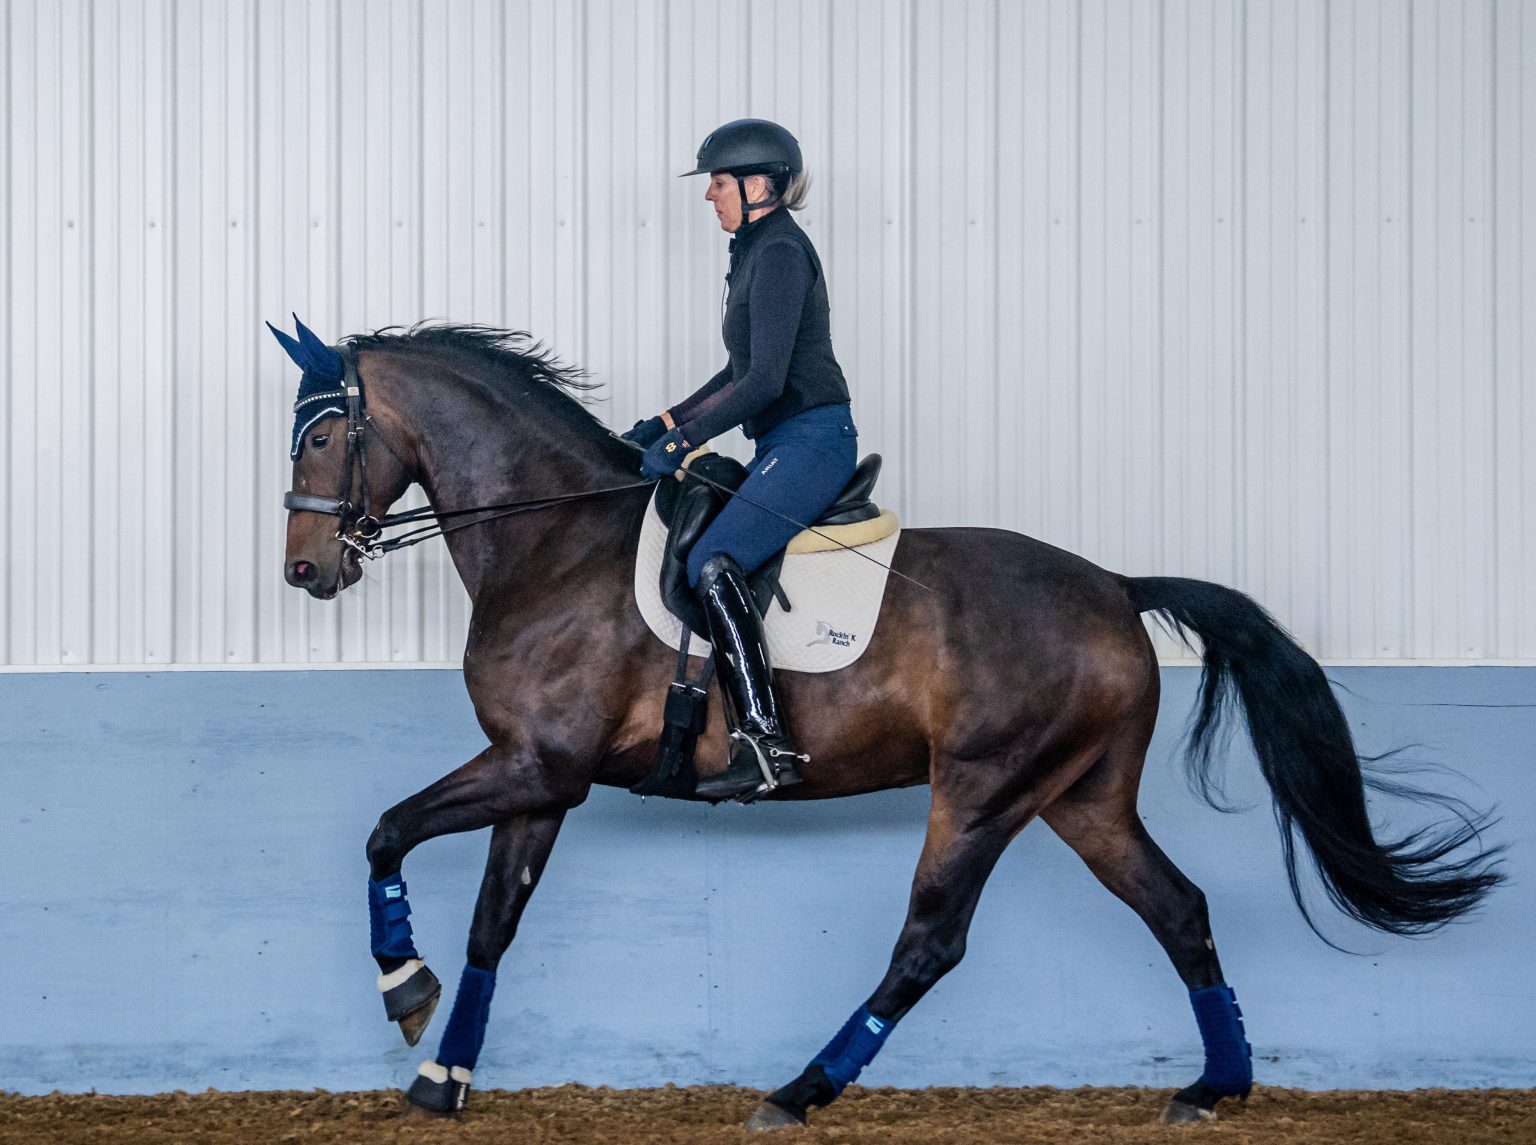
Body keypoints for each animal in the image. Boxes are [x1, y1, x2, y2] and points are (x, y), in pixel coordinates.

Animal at [274, 320, 1502, 1129]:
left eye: (322, 440)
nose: (303, 573)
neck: (552, 540)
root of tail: (1115, 584)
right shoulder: (542, 775)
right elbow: (491, 923)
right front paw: (442, 1075)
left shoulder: (537, 764)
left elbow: (386, 832)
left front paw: (404, 989)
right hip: (1081, 796)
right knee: (1179, 908)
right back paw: (1215, 1084)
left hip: (986, 787)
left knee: (931, 940)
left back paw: (799, 1088)